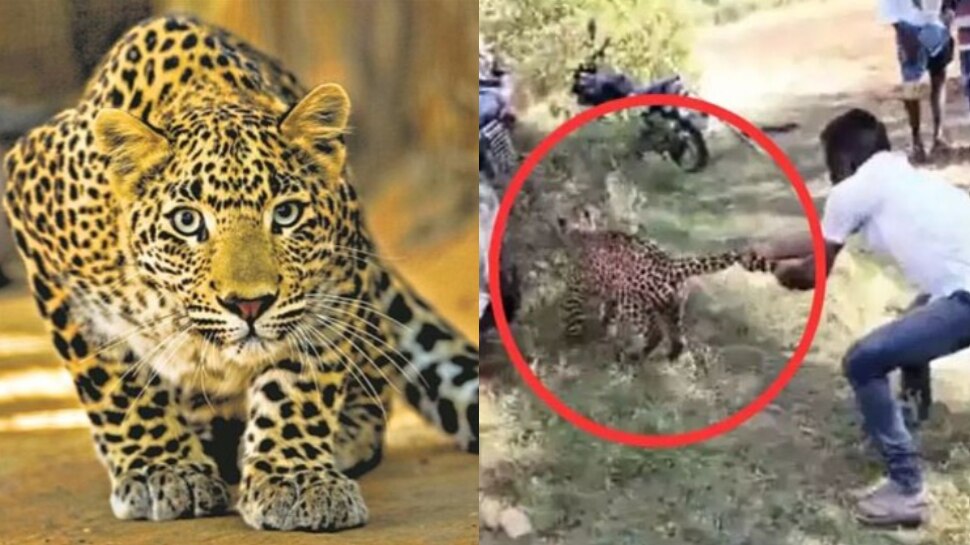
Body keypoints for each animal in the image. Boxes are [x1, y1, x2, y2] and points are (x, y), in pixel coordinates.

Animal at [2, 15, 478, 532]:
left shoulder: (332, 286)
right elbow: (113, 380)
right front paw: (162, 469)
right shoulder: (33, 206)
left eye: (285, 214)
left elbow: (299, 386)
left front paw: (295, 478)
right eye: (187, 221)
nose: (249, 304)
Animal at [554, 203, 774, 362]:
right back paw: (671, 356)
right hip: (673, 307)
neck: (583, 232)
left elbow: (574, 316)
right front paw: (607, 330)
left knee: (655, 333)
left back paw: (636, 356)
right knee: (678, 337)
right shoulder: (610, 291)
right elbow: (609, 312)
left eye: (567, 215)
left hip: (632, 301)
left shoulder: (576, 290)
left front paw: (572, 341)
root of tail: (671, 264)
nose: (559, 220)